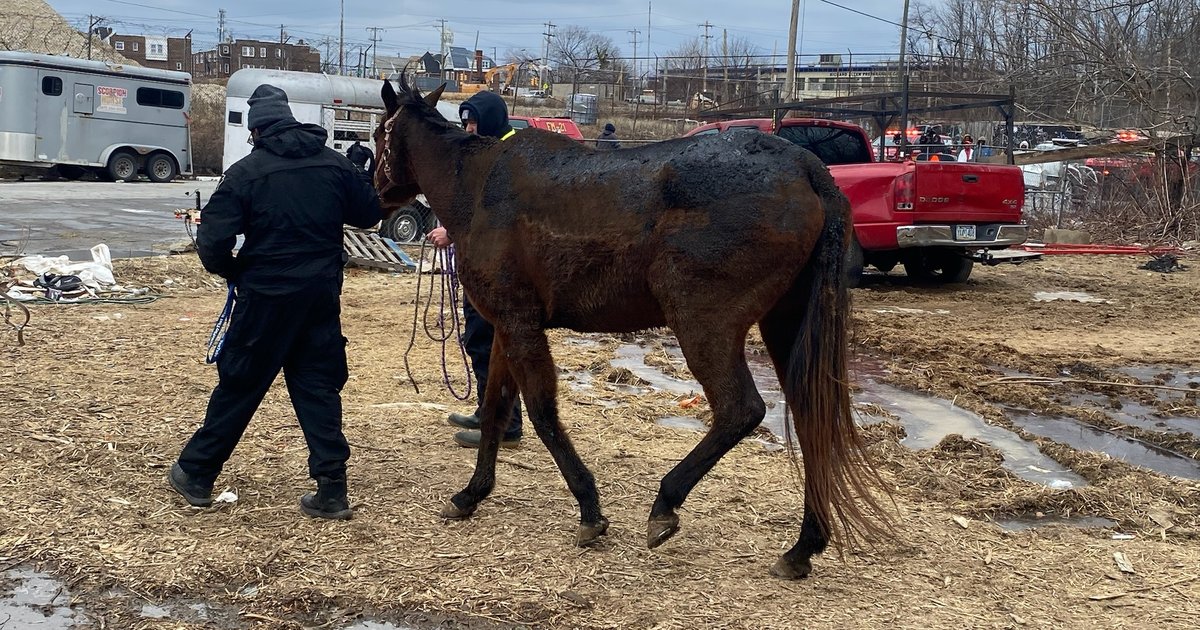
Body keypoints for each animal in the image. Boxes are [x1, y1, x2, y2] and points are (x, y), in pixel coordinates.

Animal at [373, 76, 889, 578]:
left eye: (379, 133)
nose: (377, 189)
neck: (479, 186)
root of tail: (806, 166)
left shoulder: (520, 326)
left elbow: (541, 413)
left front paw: (589, 509)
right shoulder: (508, 326)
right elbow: (496, 407)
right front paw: (471, 493)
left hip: (704, 326)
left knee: (740, 410)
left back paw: (667, 503)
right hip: (784, 326)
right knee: (809, 418)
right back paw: (803, 546)